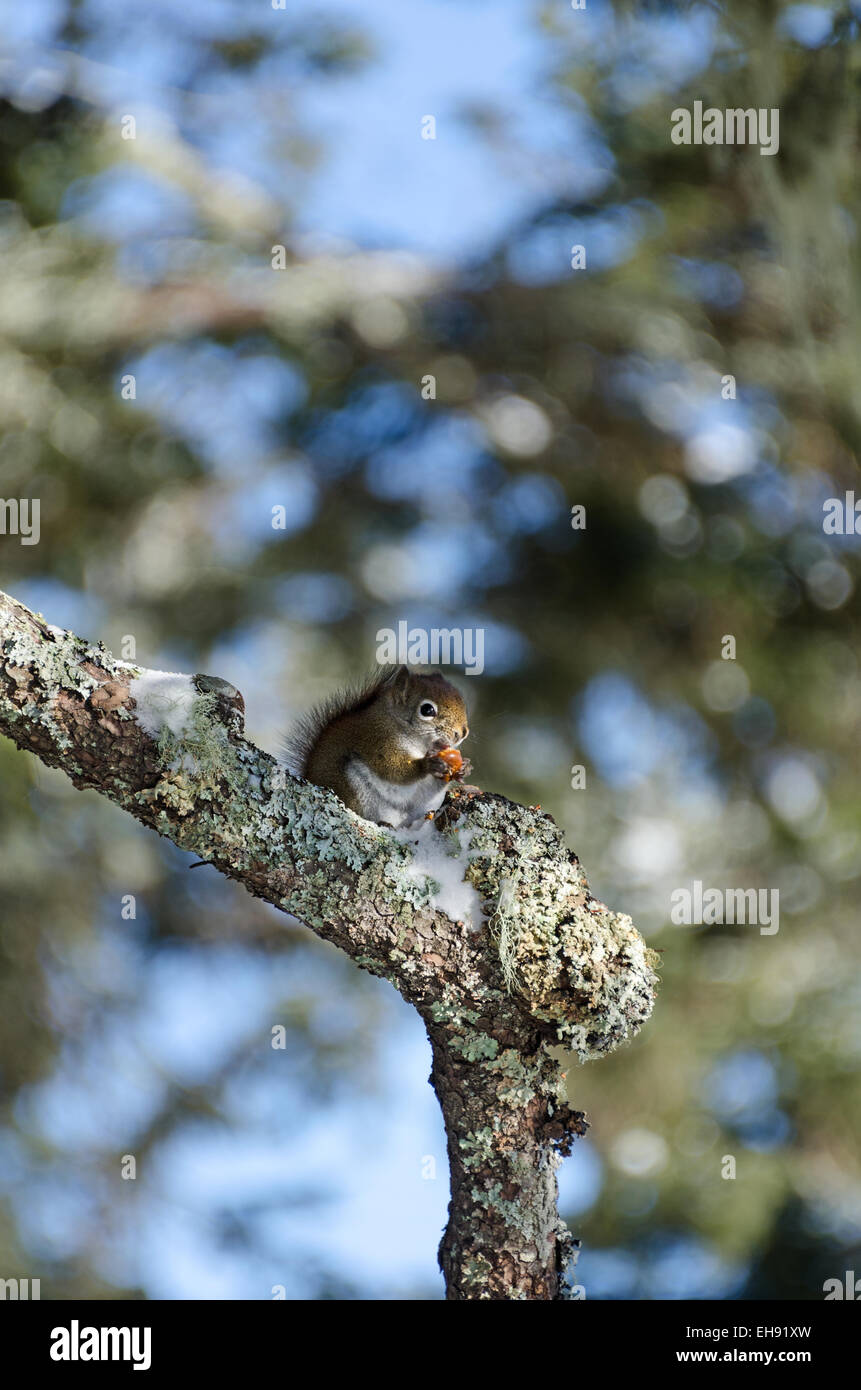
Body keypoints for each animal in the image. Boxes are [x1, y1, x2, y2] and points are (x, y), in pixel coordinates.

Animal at [285, 665, 472, 828]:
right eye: (427, 710)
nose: (462, 733)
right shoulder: (376, 740)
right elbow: (391, 769)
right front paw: (428, 765)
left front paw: (465, 768)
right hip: (352, 787)